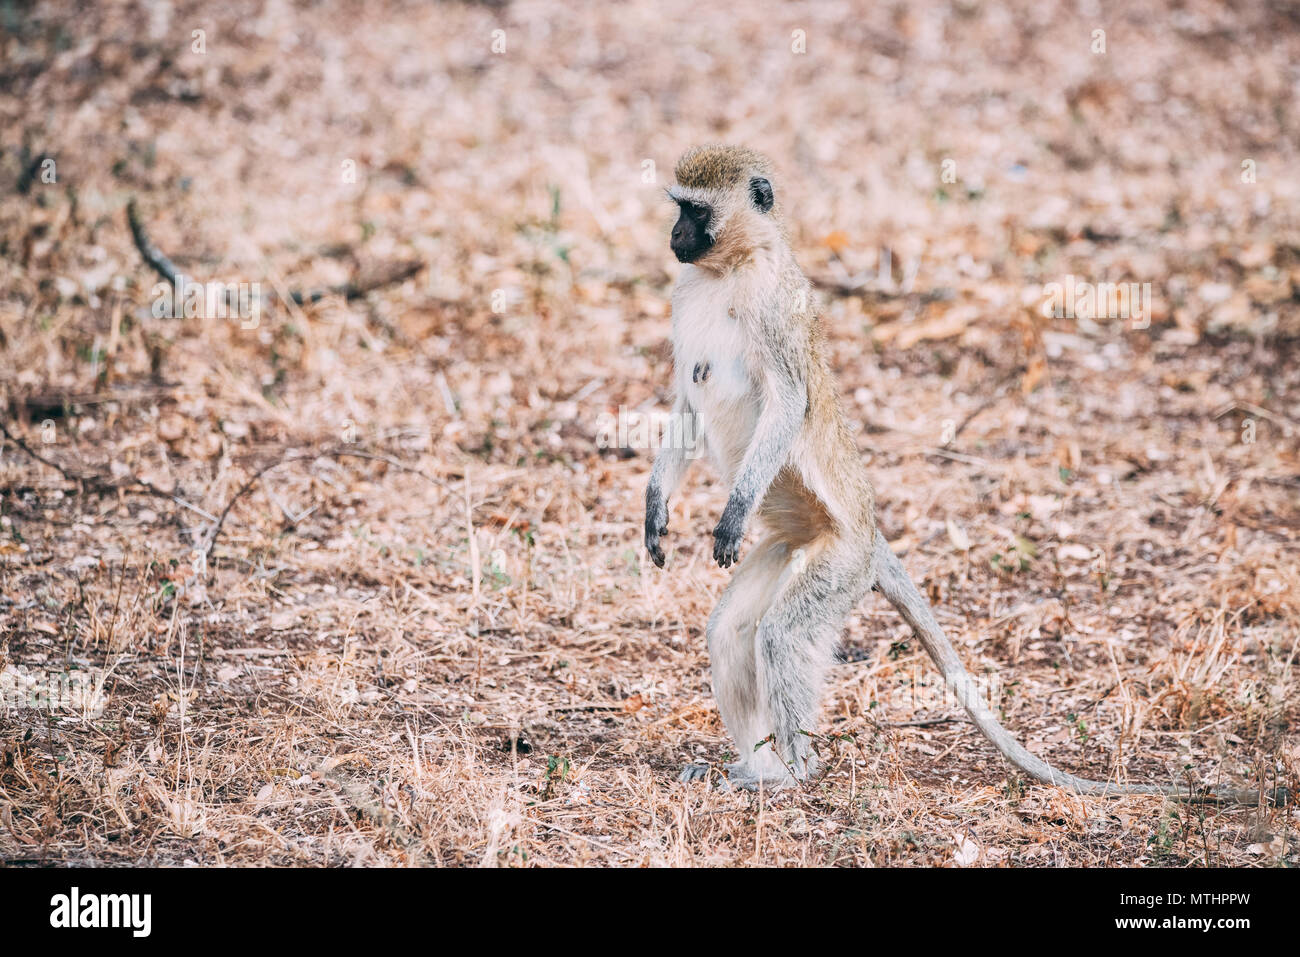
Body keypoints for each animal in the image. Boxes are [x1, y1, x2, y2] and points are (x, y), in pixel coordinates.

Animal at [645, 144, 1287, 804]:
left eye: (697, 211)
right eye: (679, 207)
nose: (674, 237)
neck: (730, 268)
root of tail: (869, 535)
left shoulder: (776, 307)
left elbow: (789, 400)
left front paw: (734, 511)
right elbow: (686, 402)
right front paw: (655, 506)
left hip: (840, 561)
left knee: (782, 636)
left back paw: (791, 773)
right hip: (791, 549)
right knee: (730, 632)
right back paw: (757, 765)